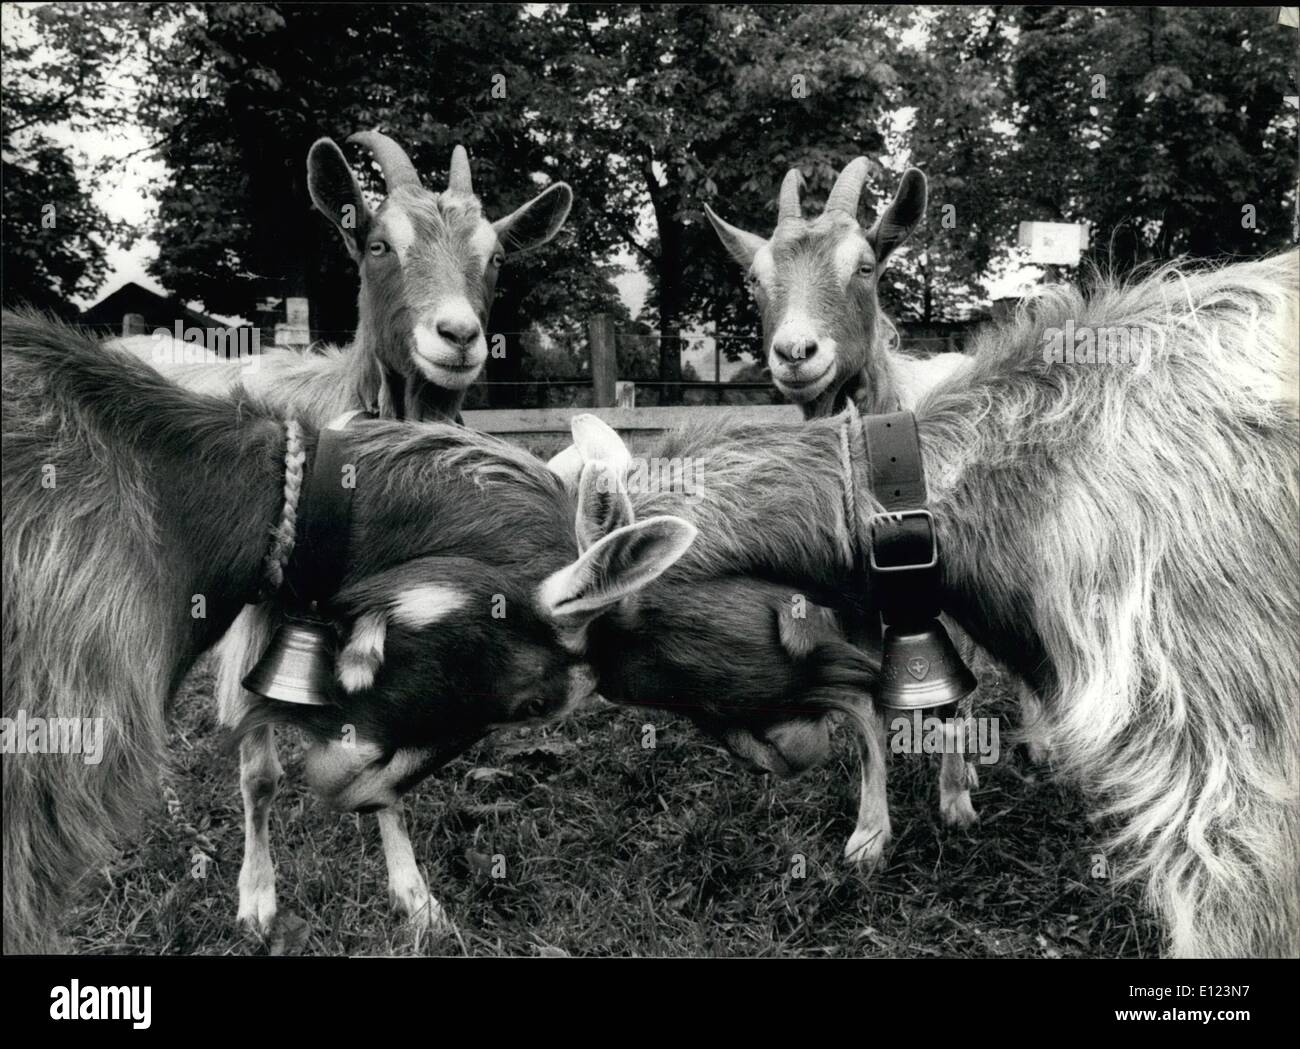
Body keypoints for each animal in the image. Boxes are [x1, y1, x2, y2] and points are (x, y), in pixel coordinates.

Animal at [121, 131, 574, 936]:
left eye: (494, 257)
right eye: (378, 243)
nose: (458, 335)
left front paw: (417, 899)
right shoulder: (266, 607)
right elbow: (259, 772)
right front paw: (257, 899)